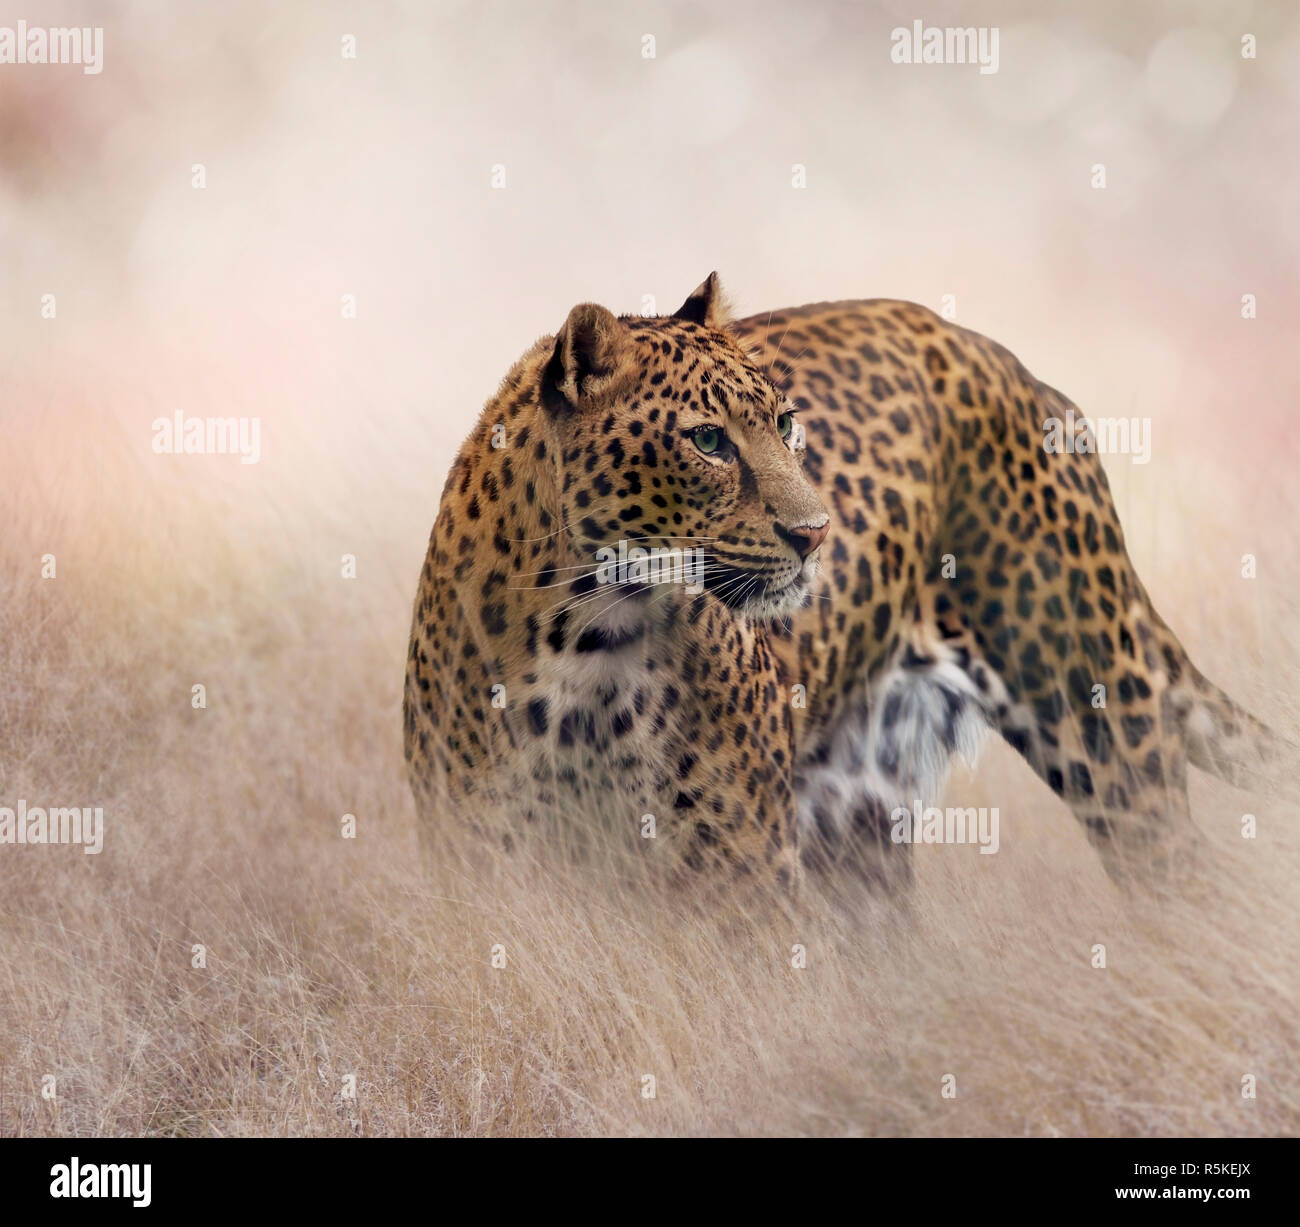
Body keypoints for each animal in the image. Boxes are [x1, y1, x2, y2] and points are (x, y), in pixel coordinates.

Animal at [403, 273, 1299, 891]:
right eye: (707, 441)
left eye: (784, 423)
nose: (816, 534)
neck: (589, 627)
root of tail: (1006, 359)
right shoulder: (478, 856)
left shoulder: (743, 871)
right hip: (857, 821)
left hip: (1099, 715)